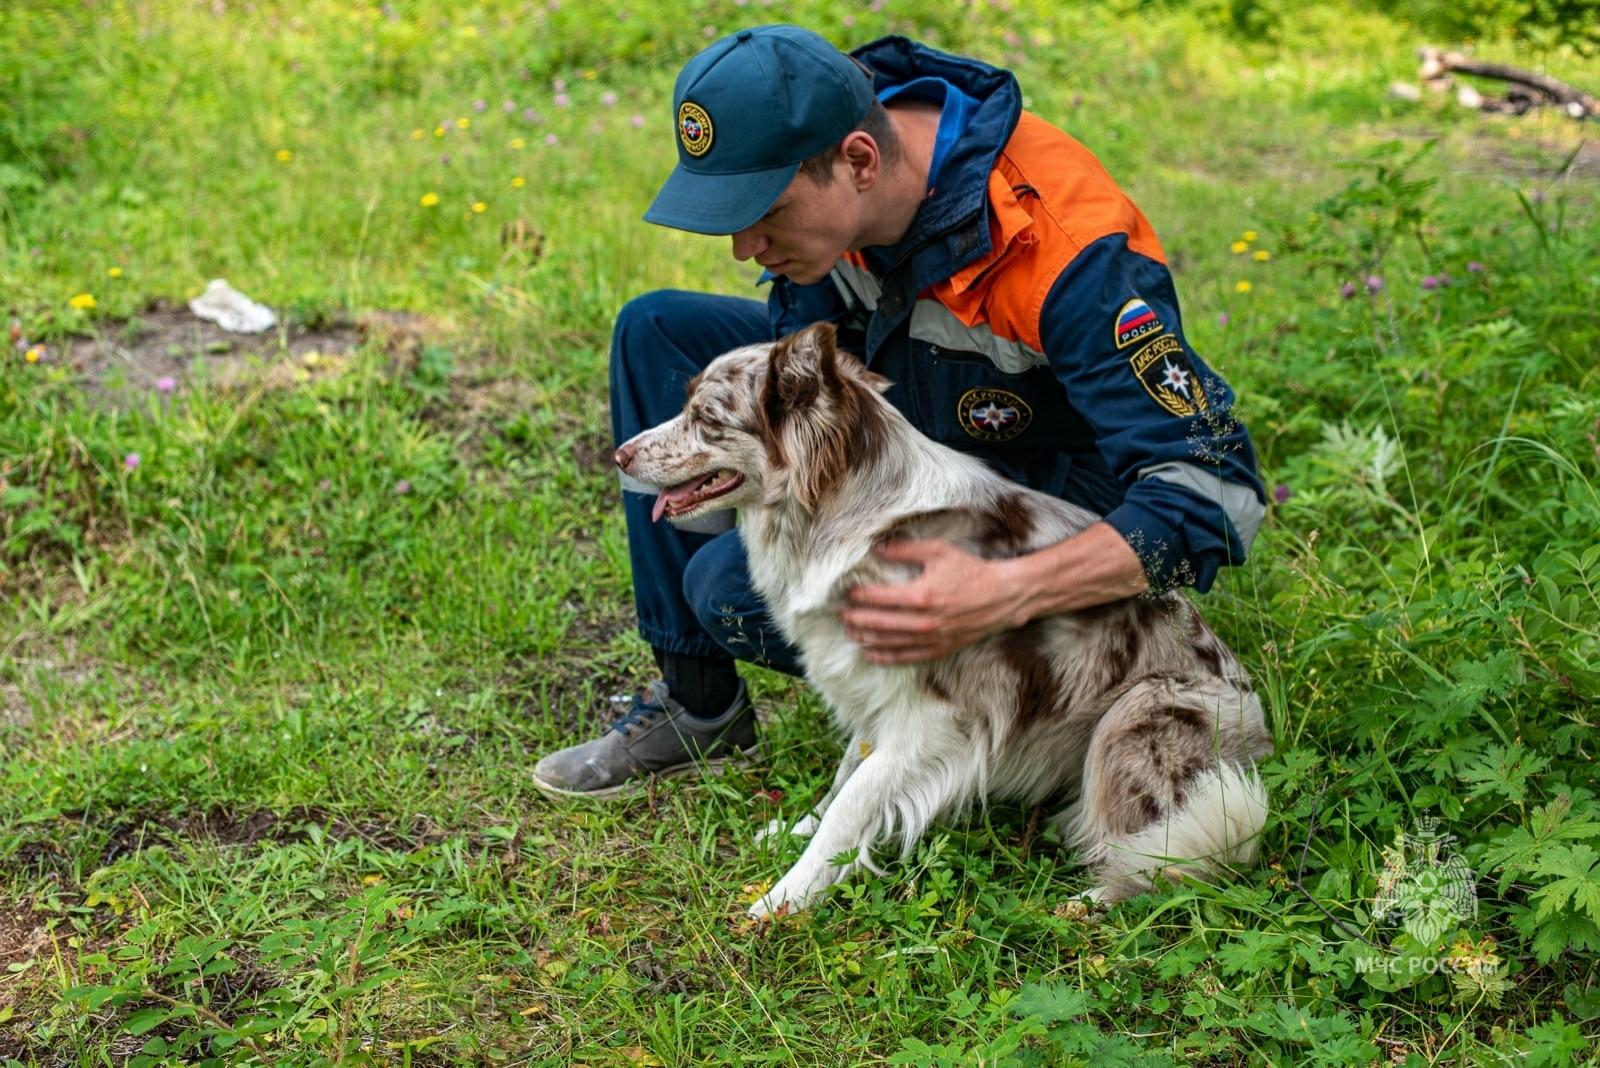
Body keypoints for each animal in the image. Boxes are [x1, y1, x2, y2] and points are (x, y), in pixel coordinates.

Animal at [611, 321, 1273, 914]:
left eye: (707, 419)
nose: (619, 454)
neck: (844, 517)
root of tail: (1263, 737)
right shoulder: (872, 687)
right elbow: (846, 774)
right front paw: (800, 830)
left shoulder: (935, 717)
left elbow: (856, 800)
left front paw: (789, 894)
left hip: (1136, 713)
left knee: (1166, 859)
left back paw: (1085, 902)